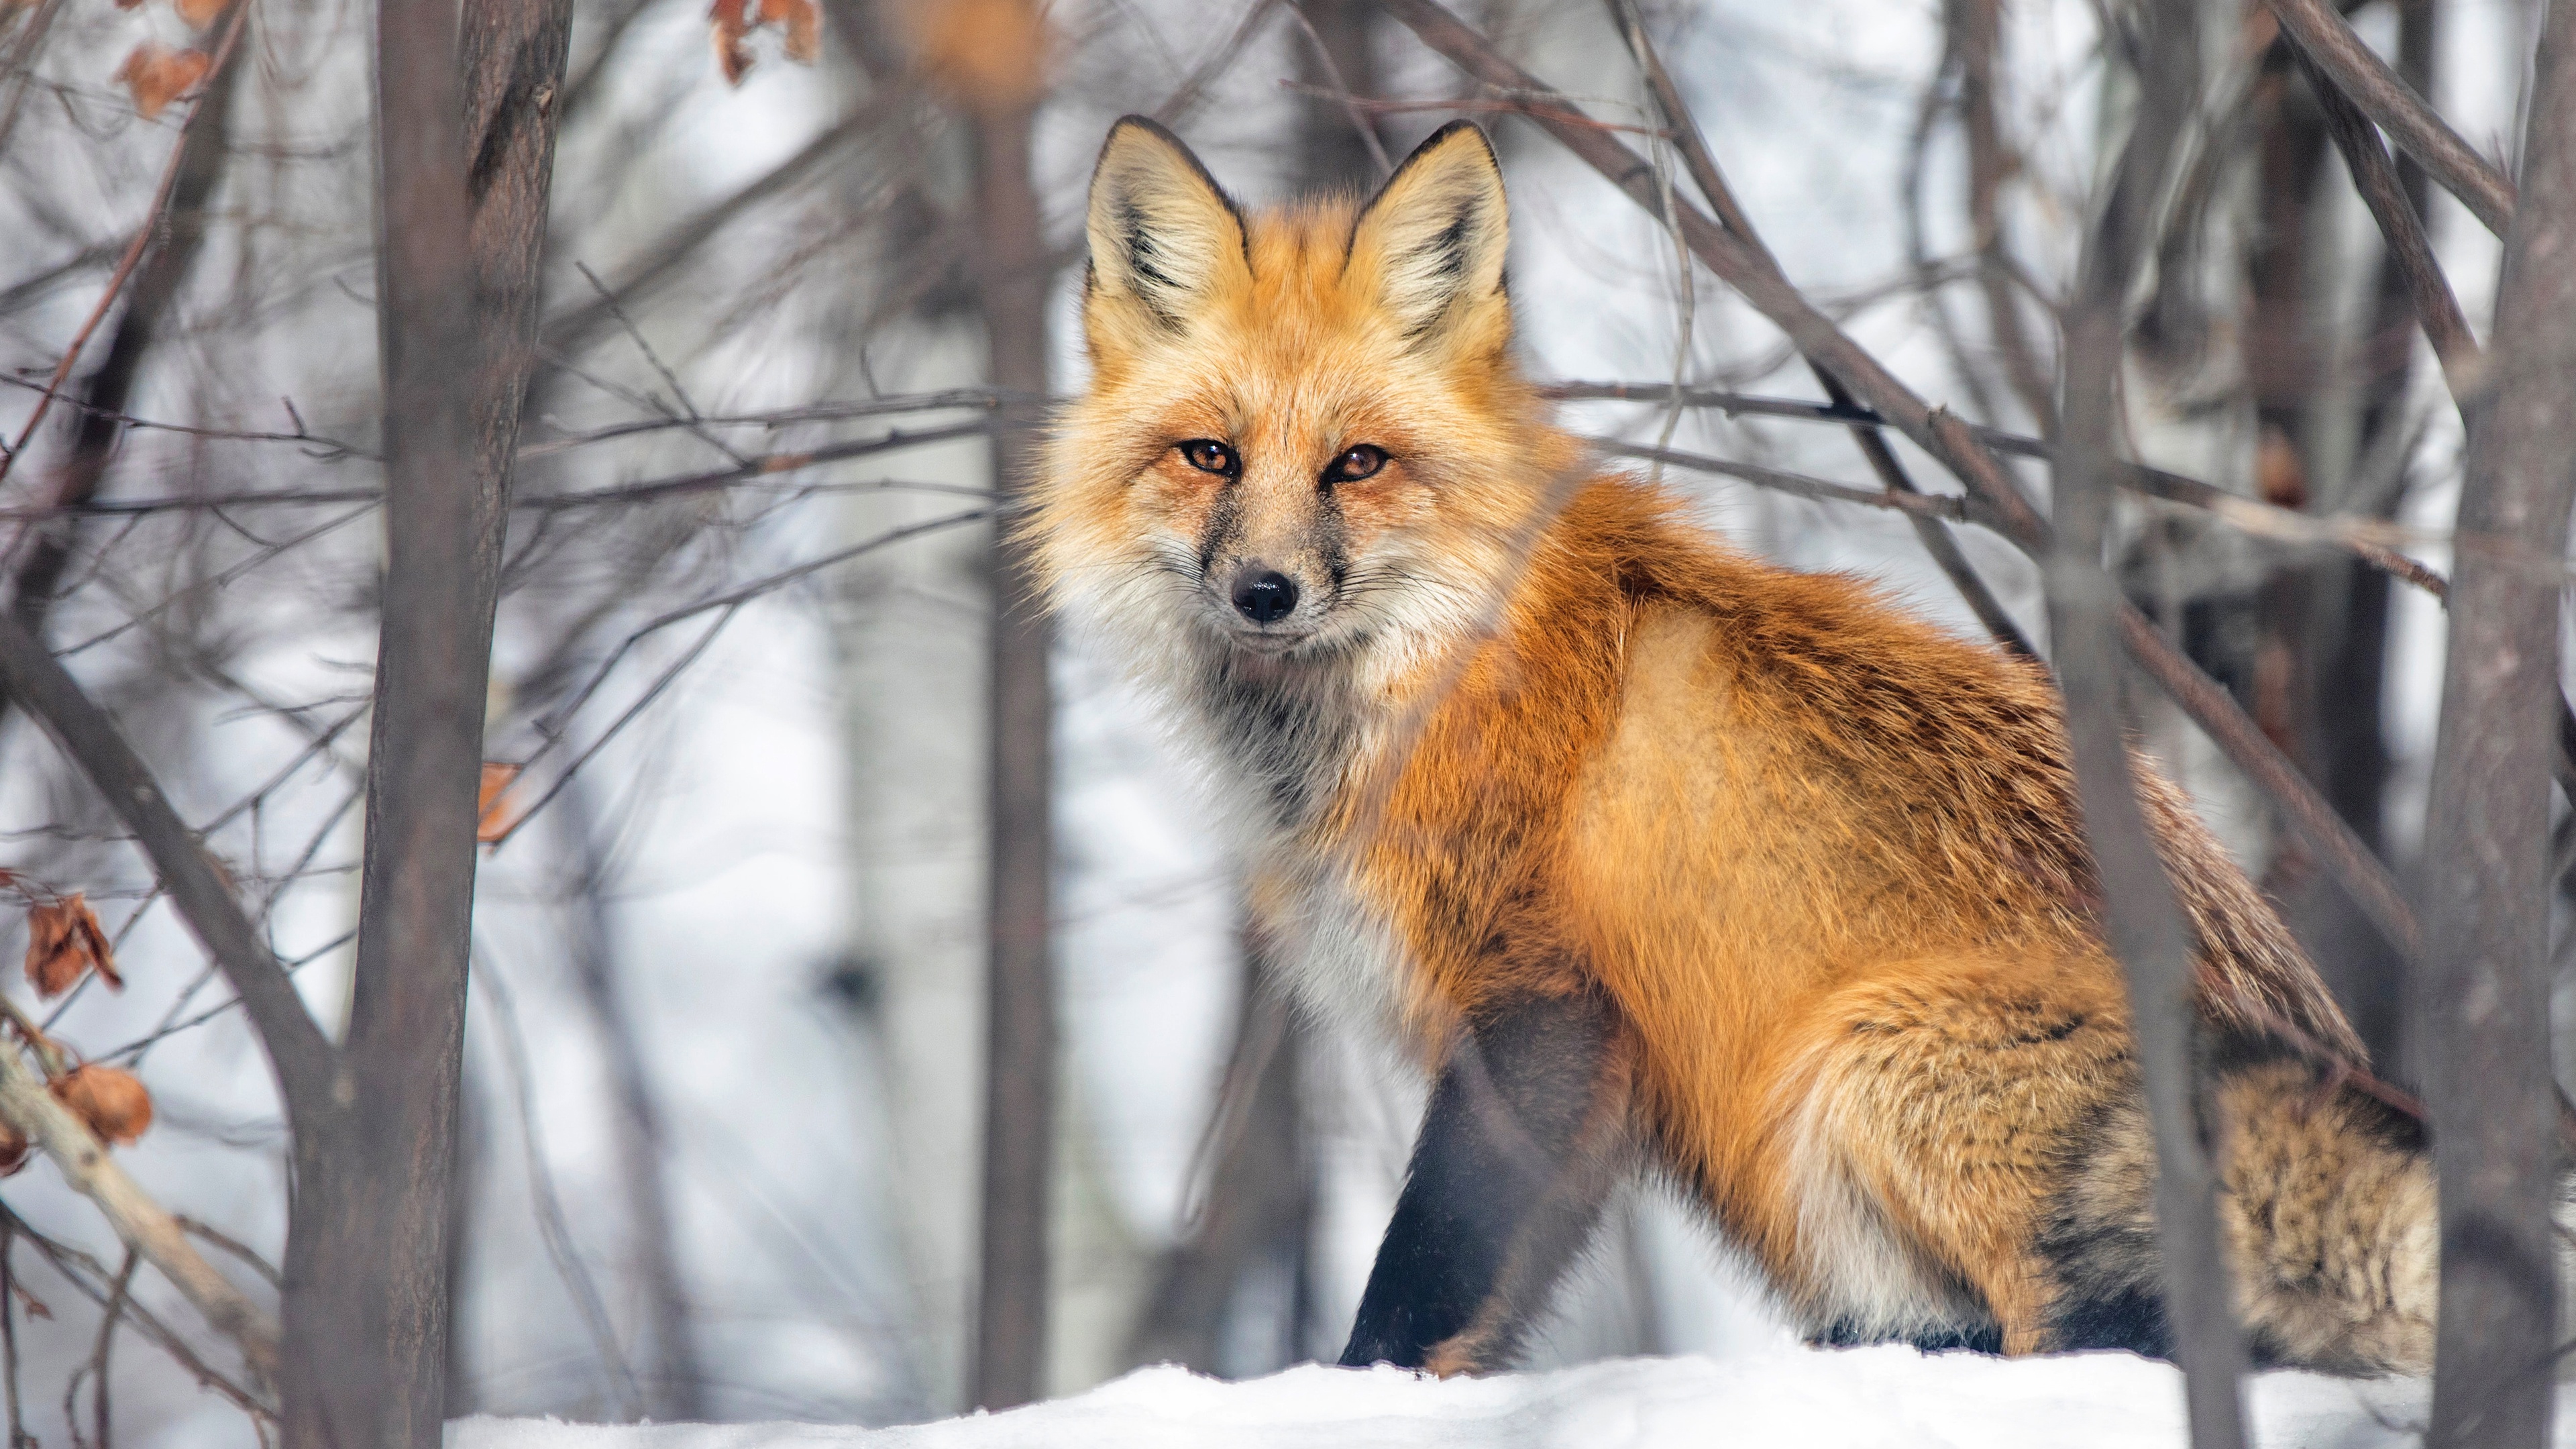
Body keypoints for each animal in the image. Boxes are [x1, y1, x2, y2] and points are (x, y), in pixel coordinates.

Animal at [1027, 114, 2458, 1378]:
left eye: (1358, 465)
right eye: (1211, 457)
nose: (1264, 593)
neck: (1433, 670)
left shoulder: (1544, 998)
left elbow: (1421, 1277)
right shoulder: (1586, 1089)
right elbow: (1488, 1307)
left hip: (1868, 1067)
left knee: (2119, 1338)